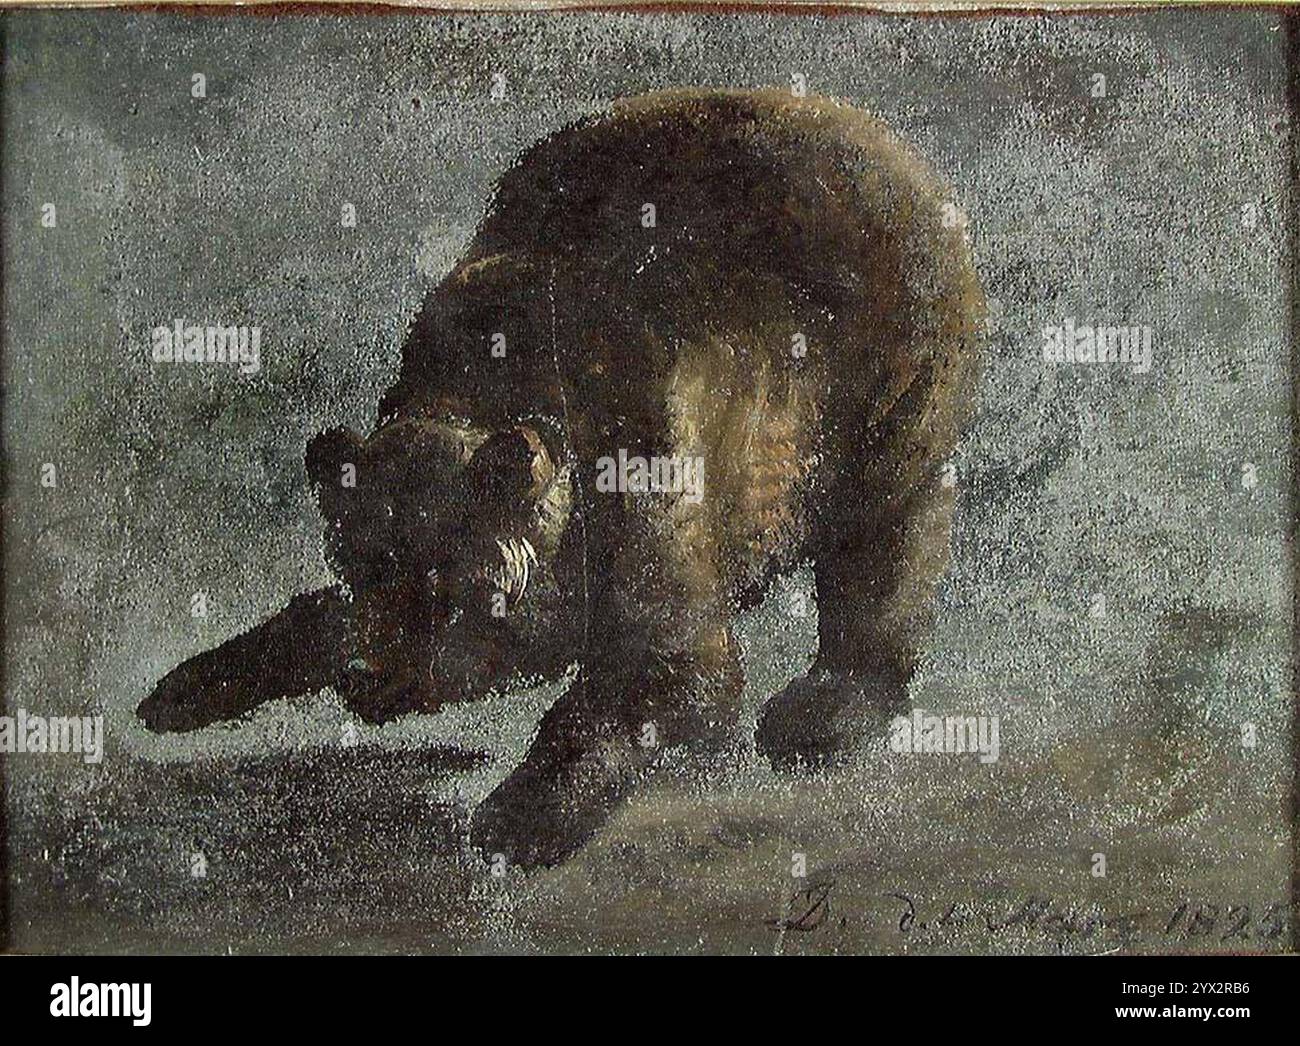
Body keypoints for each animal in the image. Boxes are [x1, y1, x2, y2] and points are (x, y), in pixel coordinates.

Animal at [138, 88, 985, 869]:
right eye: (363, 562)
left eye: (446, 582)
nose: (366, 677)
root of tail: (885, 139)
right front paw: (183, 685)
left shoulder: (645, 460)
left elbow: (667, 665)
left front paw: (520, 814)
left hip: (886, 380)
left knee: (884, 533)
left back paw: (823, 712)